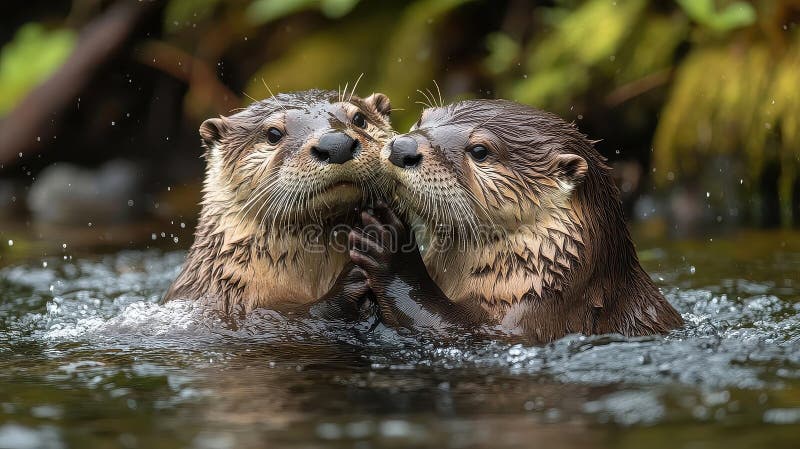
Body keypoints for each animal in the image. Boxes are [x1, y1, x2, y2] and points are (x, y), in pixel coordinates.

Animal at [349, 99, 683, 343]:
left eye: (480, 151)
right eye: (421, 120)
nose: (402, 147)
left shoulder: (536, 315)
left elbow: (448, 325)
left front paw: (389, 247)